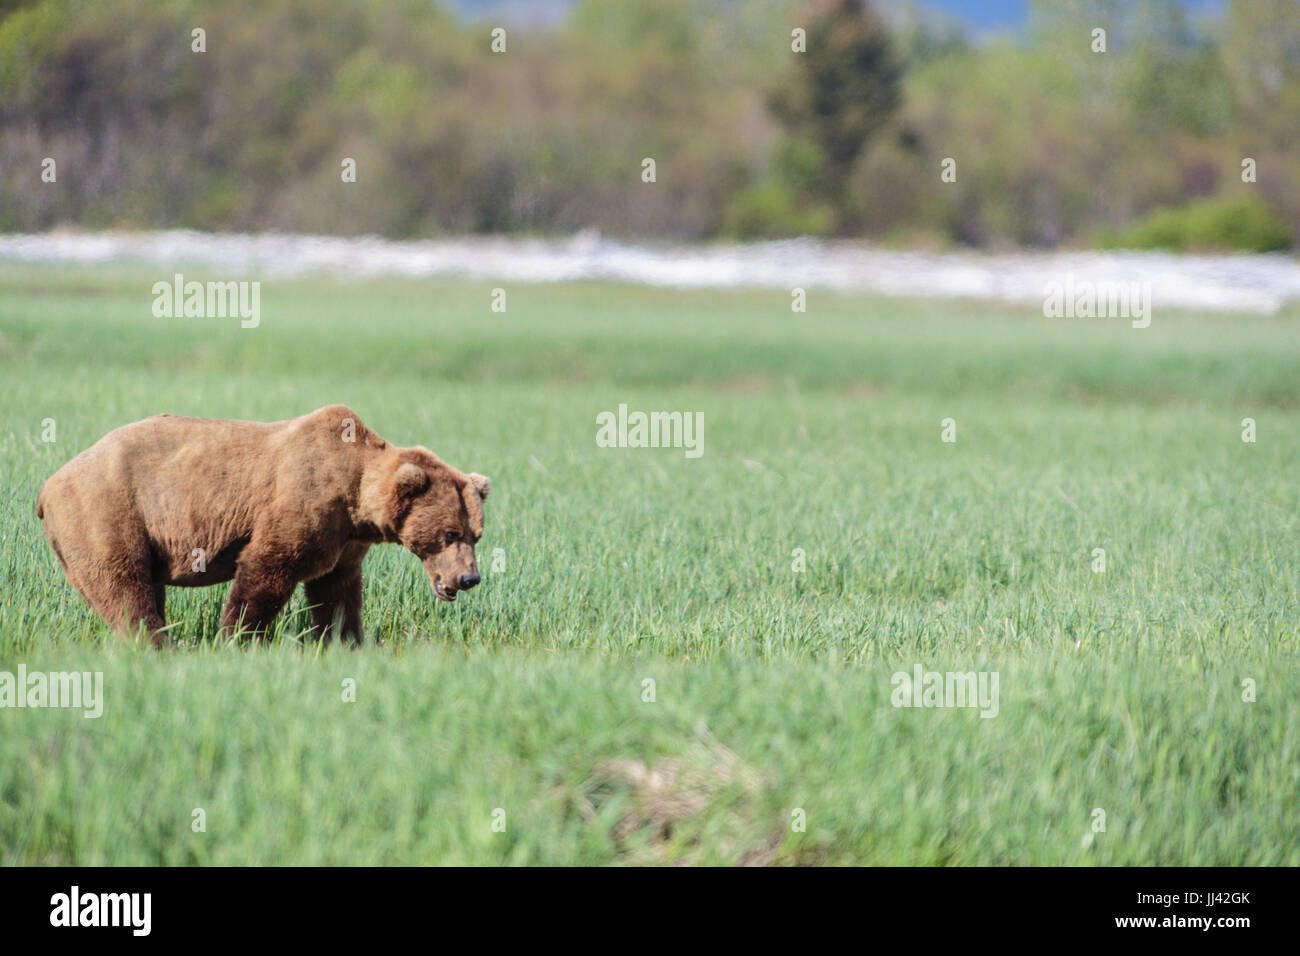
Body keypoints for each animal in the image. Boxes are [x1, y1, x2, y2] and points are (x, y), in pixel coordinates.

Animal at [36, 405, 490, 647]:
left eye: (476, 534)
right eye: (449, 533)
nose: (468, 578)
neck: (356, 497)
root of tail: (48, 484)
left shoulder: (344, 542)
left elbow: (336, 592)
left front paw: (345, 642)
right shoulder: (303, 503)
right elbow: (265, 572)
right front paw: (236, 636)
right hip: (108, 510)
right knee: (125, 588)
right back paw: (156, 643)